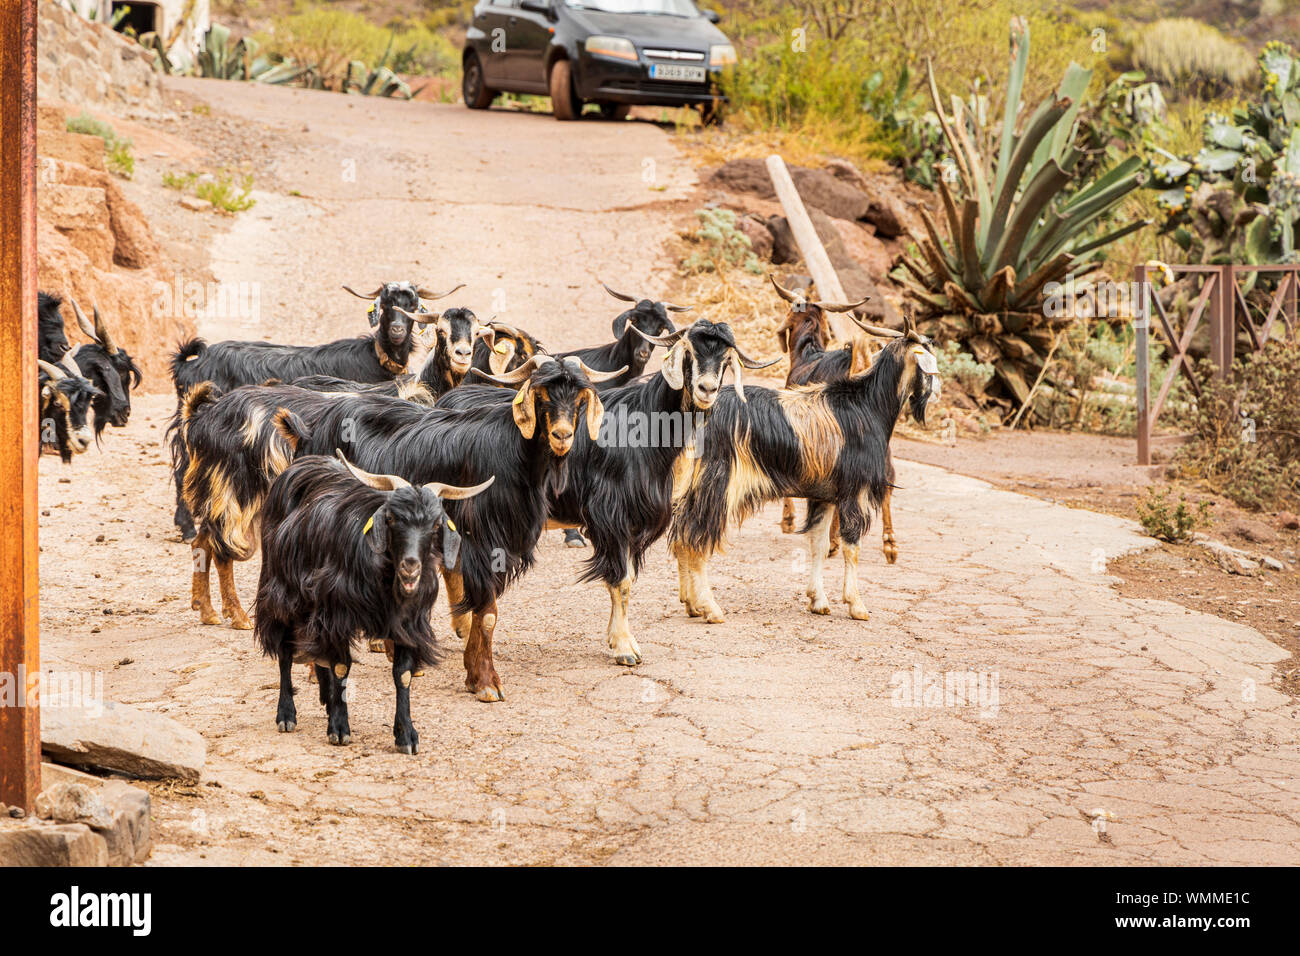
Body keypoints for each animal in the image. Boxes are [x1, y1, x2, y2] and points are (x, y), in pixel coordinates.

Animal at [167, 281, 461, 540]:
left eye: (411, 304)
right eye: (387, 304)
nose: (398, 330)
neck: (375, 356)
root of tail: (192, 362)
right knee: (182, 467)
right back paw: (187, 527)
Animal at [255, 451, 492, 751]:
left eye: (436, 524)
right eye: (391, 519)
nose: (410, 567)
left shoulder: (408, 624)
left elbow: (402, 674)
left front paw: (406, 735)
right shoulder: (336, 613)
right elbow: (341, 666)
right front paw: (339, 728)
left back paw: (325, 699)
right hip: (281, 592)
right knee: (286, 650)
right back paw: (286, 714)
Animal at [289, 354, 624, 701]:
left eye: (579, 399)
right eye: (541, 395)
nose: (562, 436)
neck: (513, 456)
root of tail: (309, 430)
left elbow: (481, 612)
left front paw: (473, 674)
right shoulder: (481, 543)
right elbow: (487, 614)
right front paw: (487, 682)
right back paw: (317, 667)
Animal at [439, 319, 773, 666]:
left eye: (725, 358)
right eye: (690, 352)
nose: (706, 389)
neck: (647, 427)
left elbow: (628, 581)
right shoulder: (611, 516)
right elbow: (621, 581)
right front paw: (625, 648)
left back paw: (462, 626)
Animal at [669, 314, 940, 623]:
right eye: (927, 359)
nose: (936, 393)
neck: (868, 406)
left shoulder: (825, 496)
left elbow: (819, 546)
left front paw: (818, 600)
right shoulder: (854, 492)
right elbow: (851, 547)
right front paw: (856, 605)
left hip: (690, 487)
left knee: (681, 536)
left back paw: (690, 603)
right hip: (715, 485)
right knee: (696, 538)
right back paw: (710, 607)